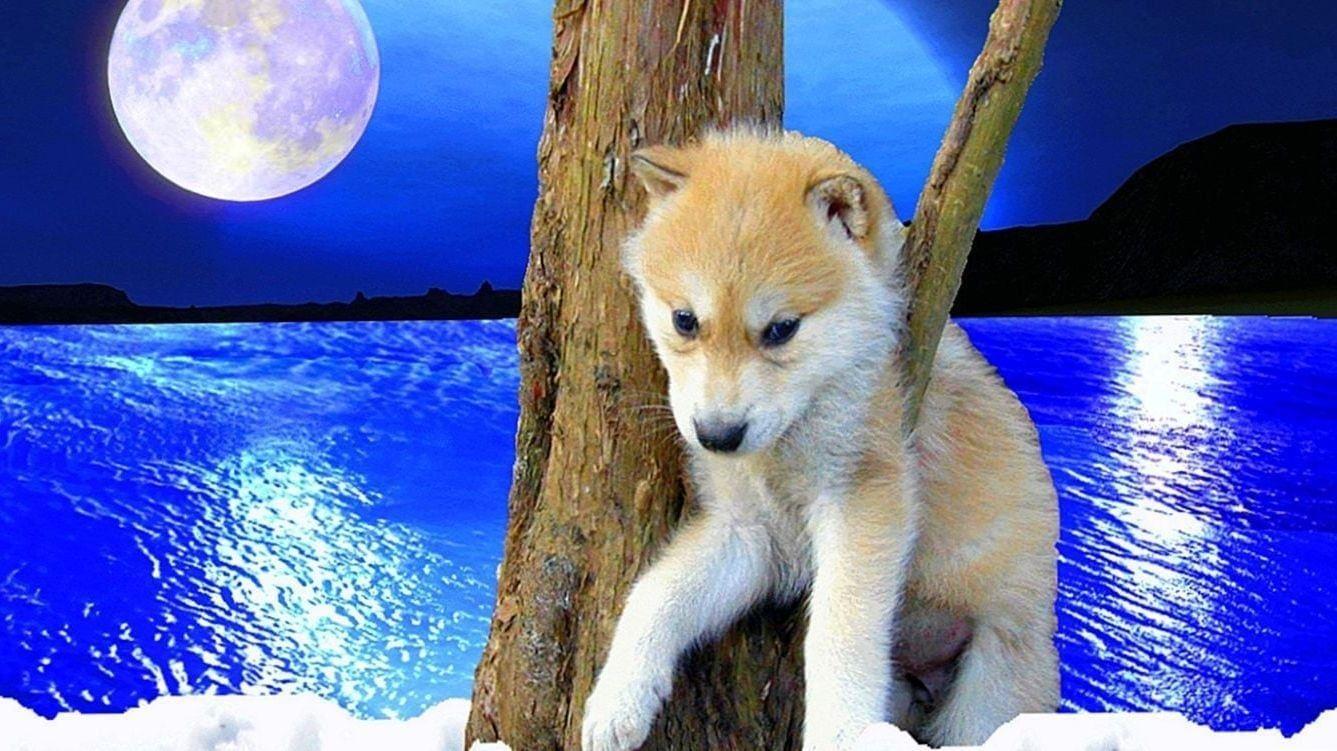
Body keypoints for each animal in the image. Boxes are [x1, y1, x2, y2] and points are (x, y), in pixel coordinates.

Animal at [581, 129, 1059, 751]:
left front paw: (842, 735)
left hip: (989, 684)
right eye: (684, 320)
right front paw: (618, 698)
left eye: (782, 329)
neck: (794, 432)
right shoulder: (750, 534)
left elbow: (839, 638)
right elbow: (657, 595)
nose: (718, 436)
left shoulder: (863, 501)